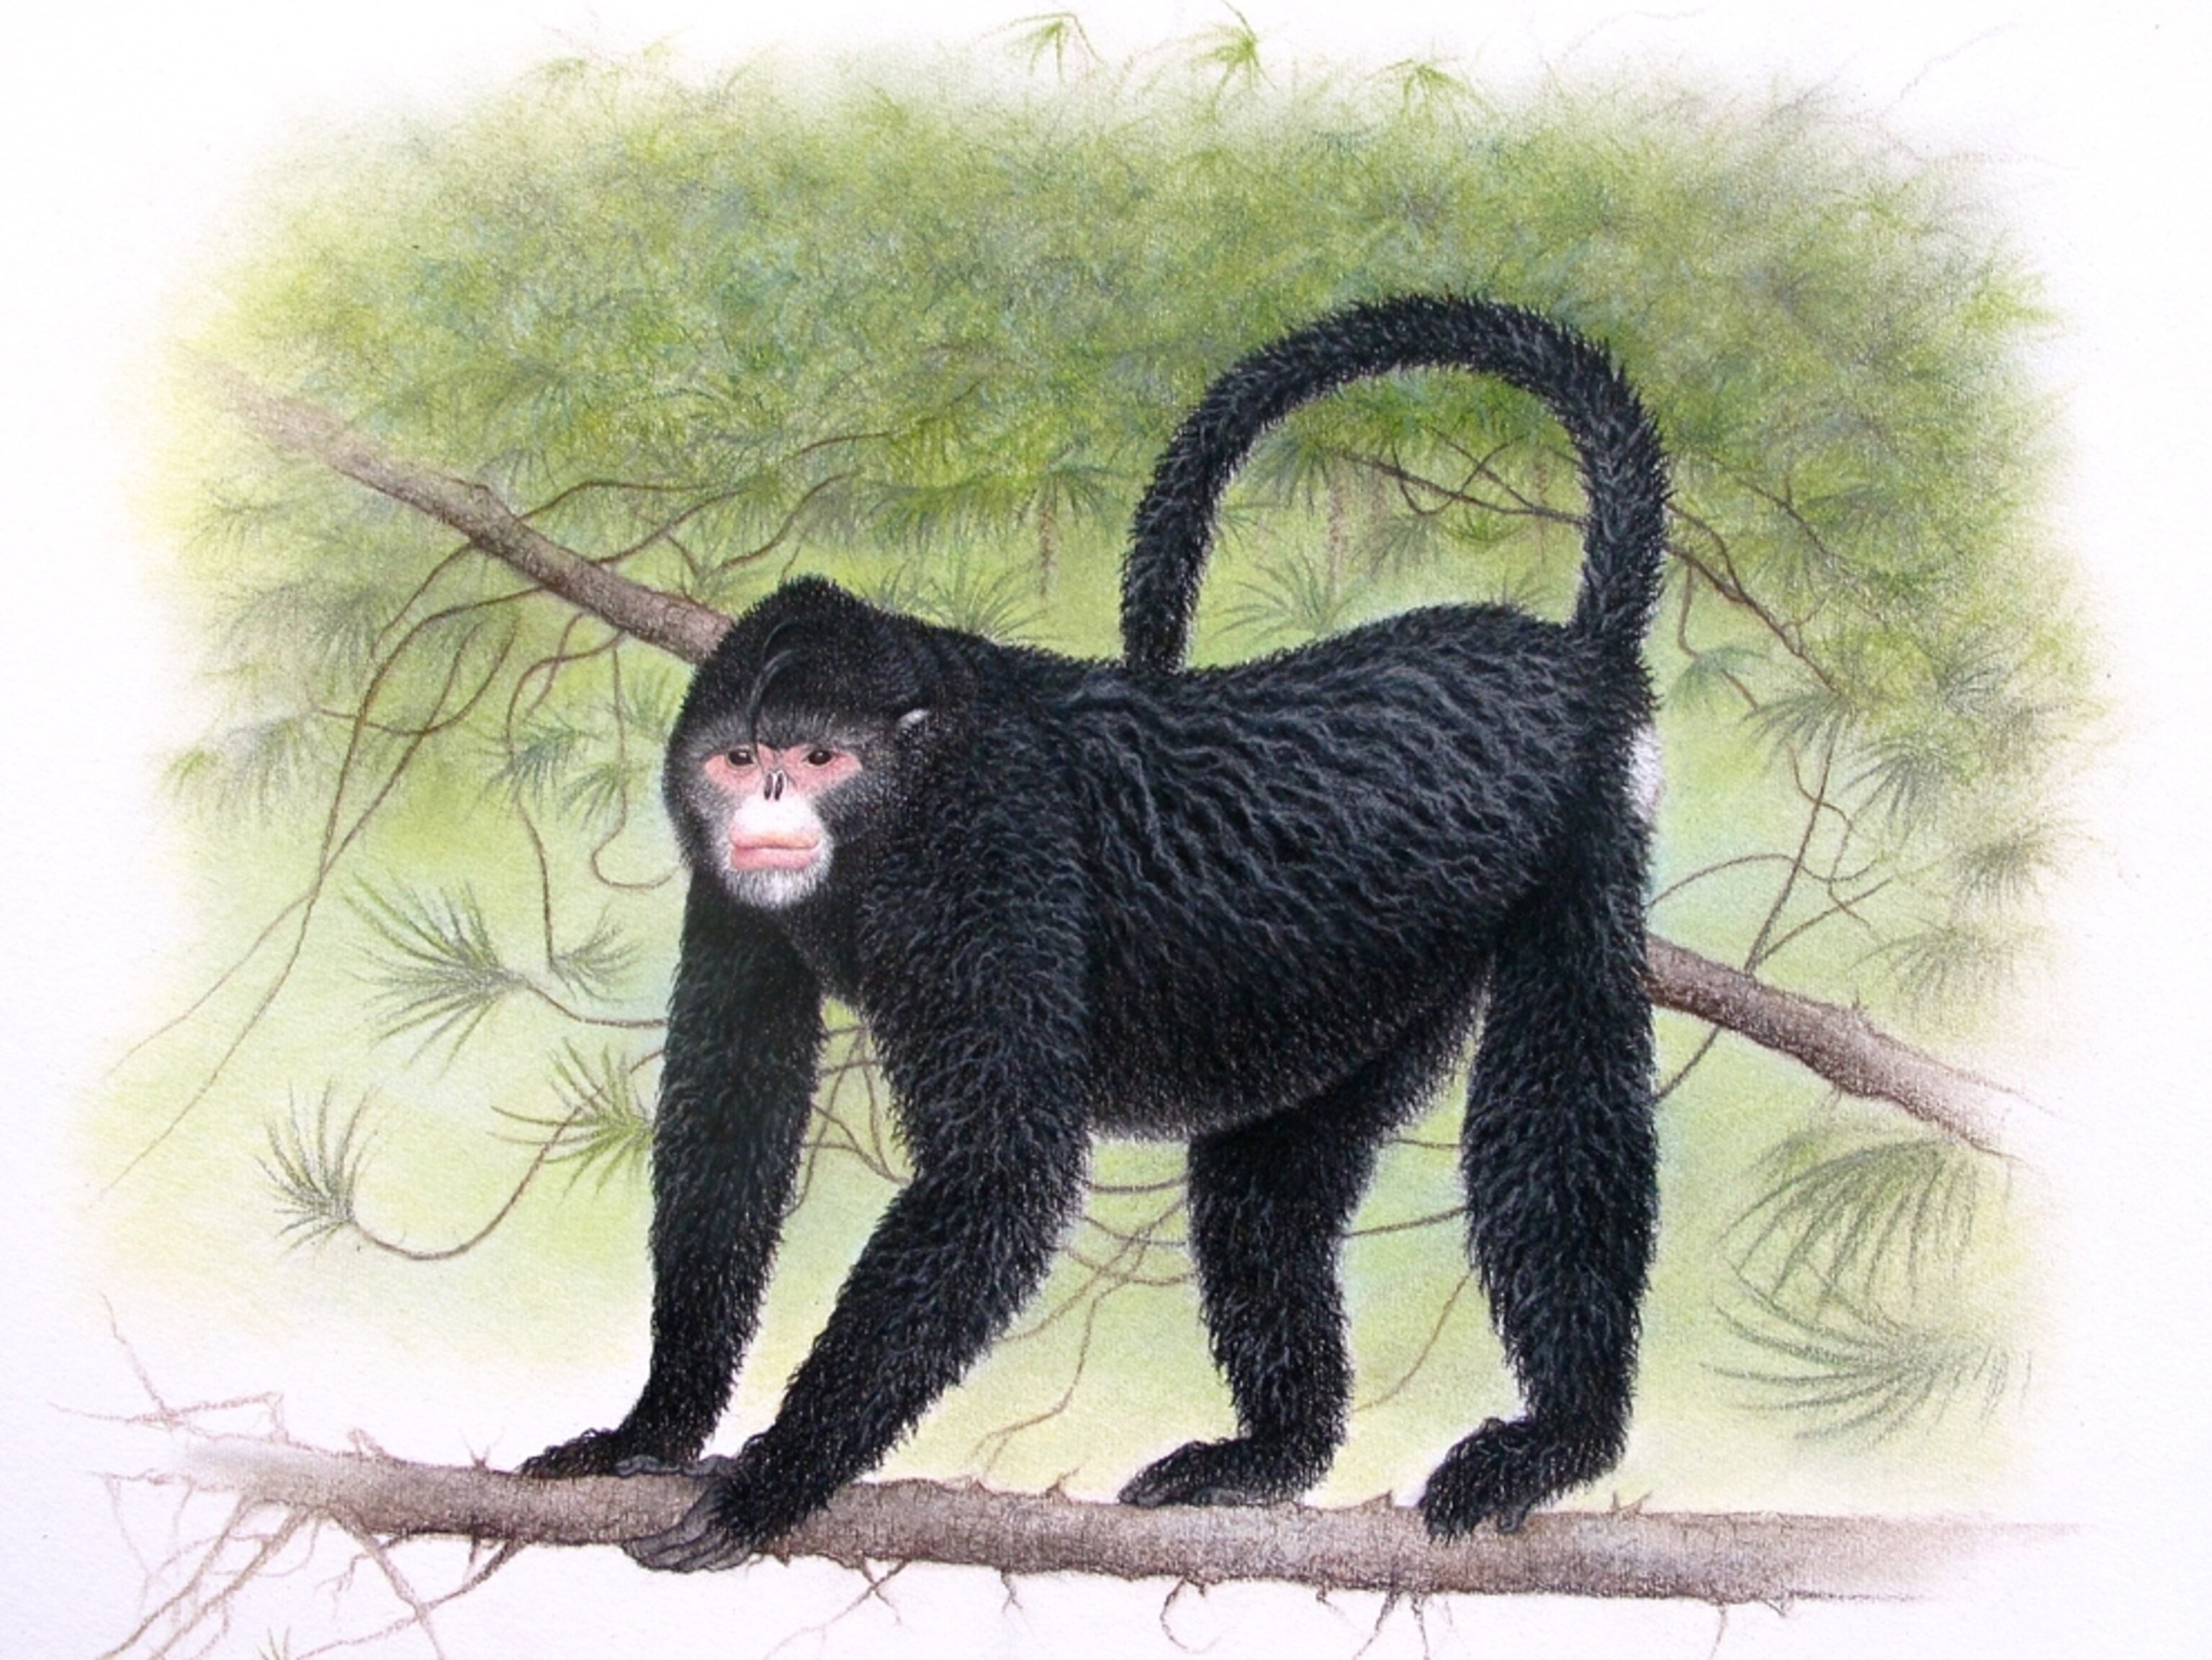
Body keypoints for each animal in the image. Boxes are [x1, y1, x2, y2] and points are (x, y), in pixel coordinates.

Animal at [522, 294, 1666, 1572]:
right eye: (738, 759)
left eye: (818, 757)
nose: (769, 808)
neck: (915, 781)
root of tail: (1568, 658)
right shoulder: (729, 885)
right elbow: (730, 1125)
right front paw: (653, 1428)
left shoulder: (988, 837)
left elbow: (998, 1175)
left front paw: (774, 1480)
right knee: (1267, 1176)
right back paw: (1276, 1449)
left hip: (1586, 825)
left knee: (1560, 1076)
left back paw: (1560, 1436)